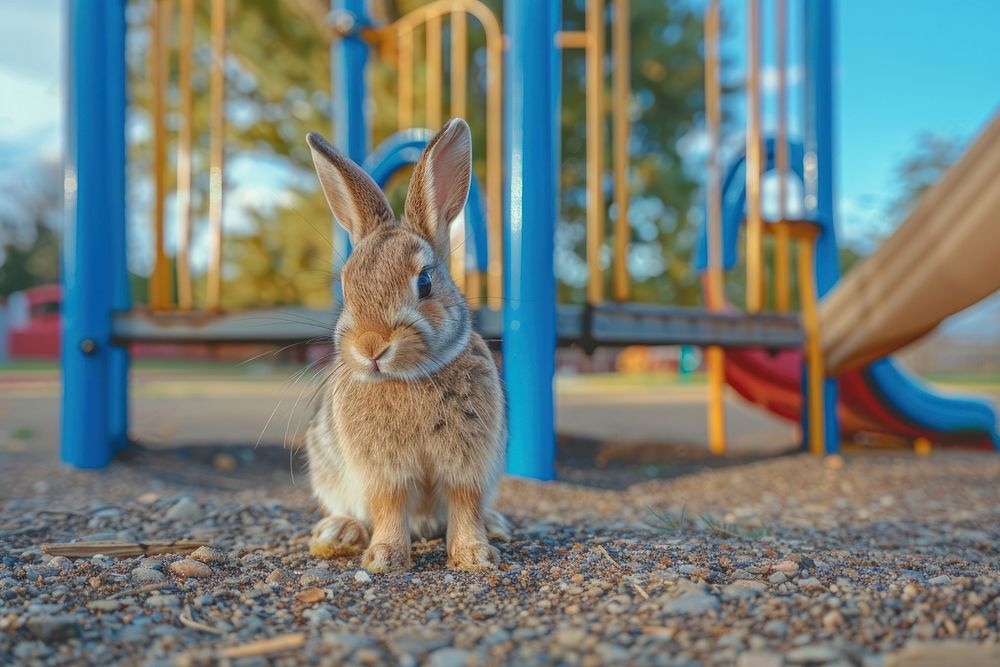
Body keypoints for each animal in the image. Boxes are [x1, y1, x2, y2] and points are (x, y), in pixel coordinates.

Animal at [302, 118, 510, 573]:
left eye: (425, 282)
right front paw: (384, 558)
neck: (410, 378)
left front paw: (474, 555)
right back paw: (338, 533)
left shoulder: (468, 465)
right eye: (347, 286)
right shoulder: (384, 472)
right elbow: (389, 508)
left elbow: (465, 506)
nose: (371, 346)